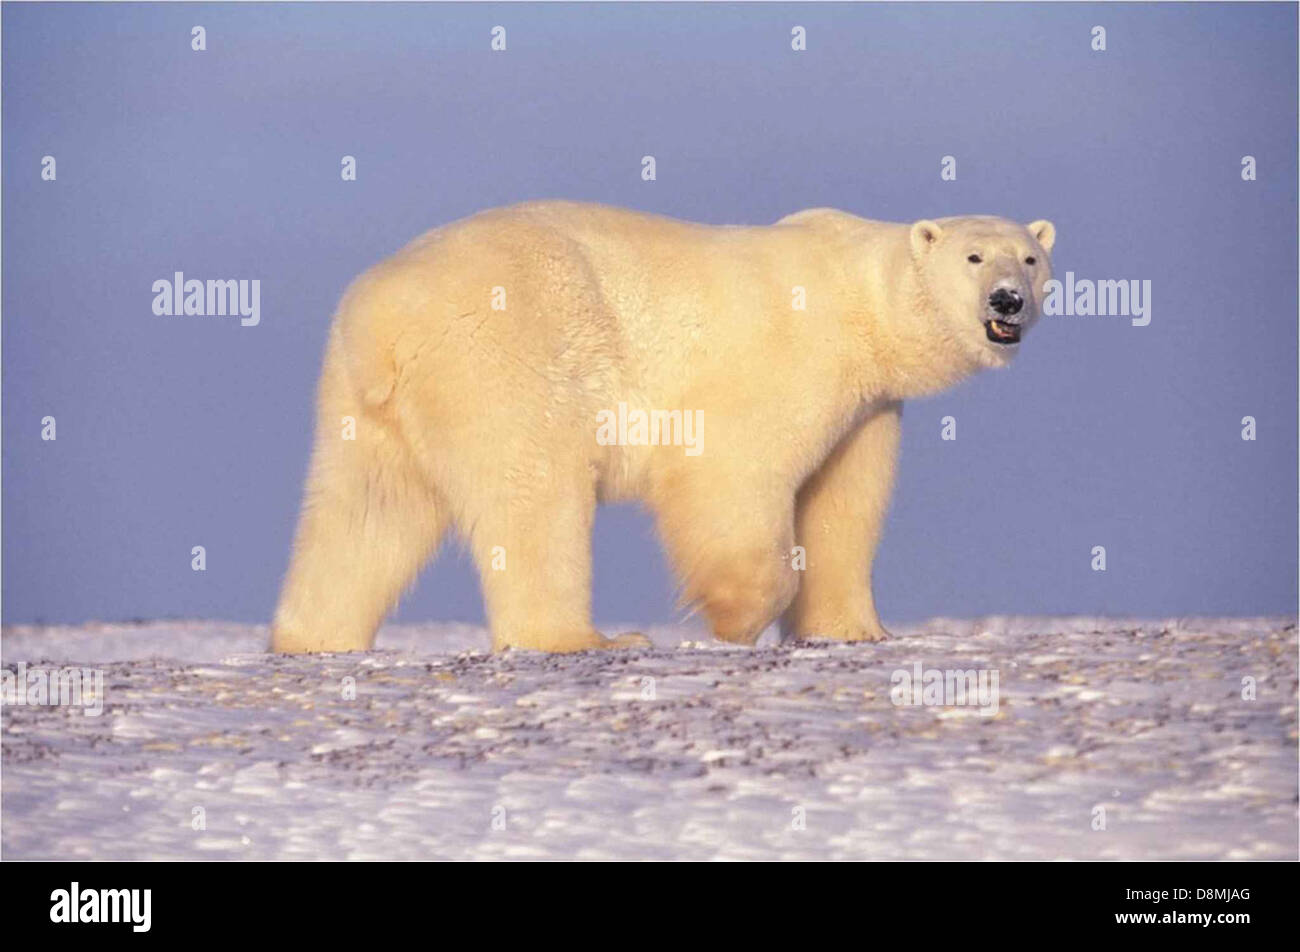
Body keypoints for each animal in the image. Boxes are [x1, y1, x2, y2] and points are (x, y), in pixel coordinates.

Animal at [271, 201, 1055, 653]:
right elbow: (735, 475)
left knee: (365, 513)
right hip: (504, 351)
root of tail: (383, 319)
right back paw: (586, 639)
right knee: (536, 494)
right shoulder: (785, 359)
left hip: (362, 403)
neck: (856, 300)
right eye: (974, 257)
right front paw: (733, 617)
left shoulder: (867, 405)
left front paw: (855, 628)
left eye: (1031, 256)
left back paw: (313, 638)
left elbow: (842, 506)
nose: (1008, 301)